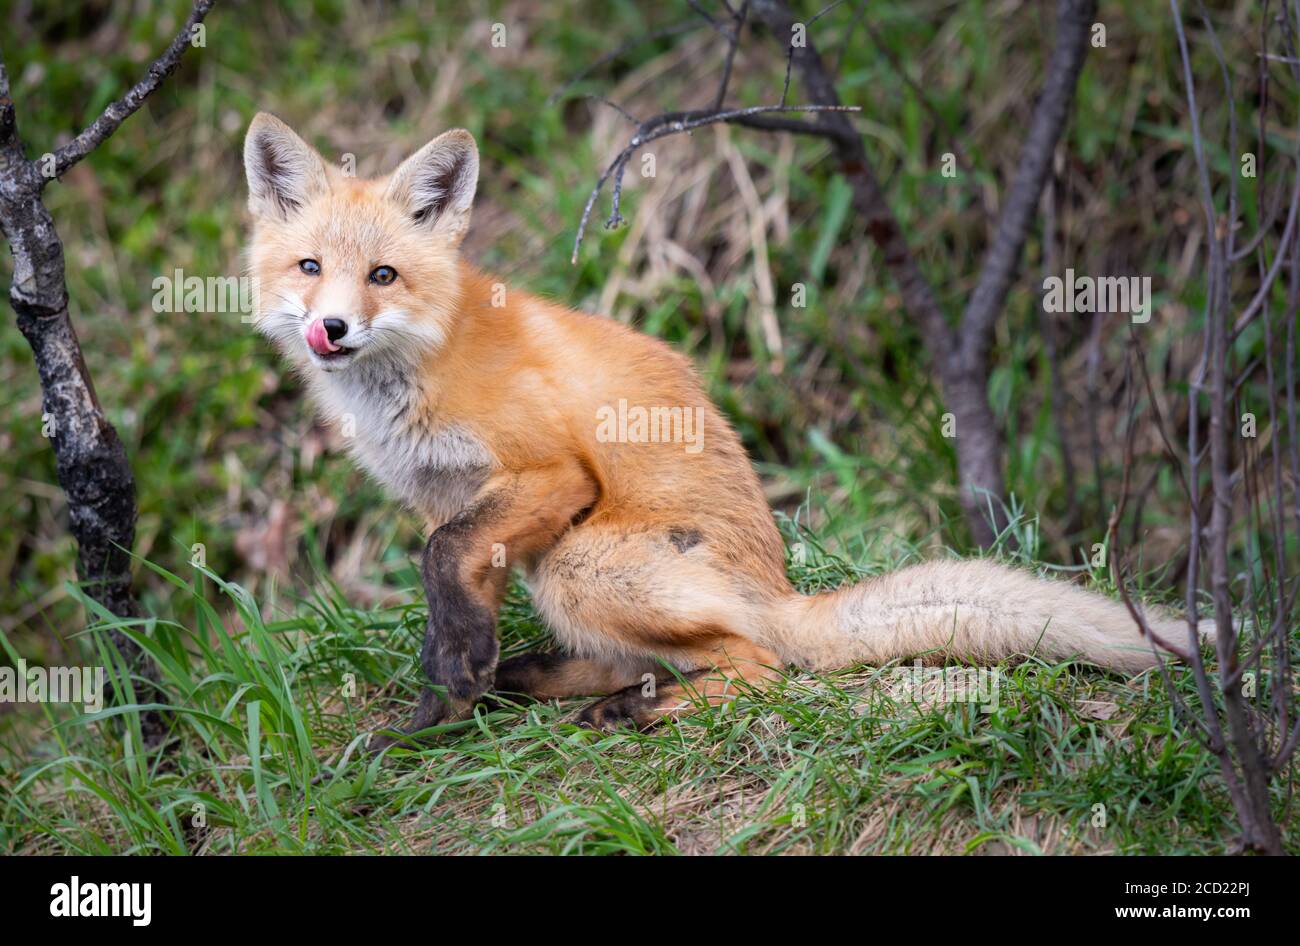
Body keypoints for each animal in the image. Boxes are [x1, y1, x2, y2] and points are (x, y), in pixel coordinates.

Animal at [243, 113, 1203, 749]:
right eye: (311, 268)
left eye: (383, 275)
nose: (332, 330)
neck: (421, 365)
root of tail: (777, 586)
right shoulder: (453, 502)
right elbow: (450, 590)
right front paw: (451, 698)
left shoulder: (549, 477)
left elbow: (440, 562)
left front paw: (443, 700)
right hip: (563, 565)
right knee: (644, 659)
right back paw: (553, 681)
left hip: (585, 559)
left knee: (757, 664)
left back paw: (636, 707)